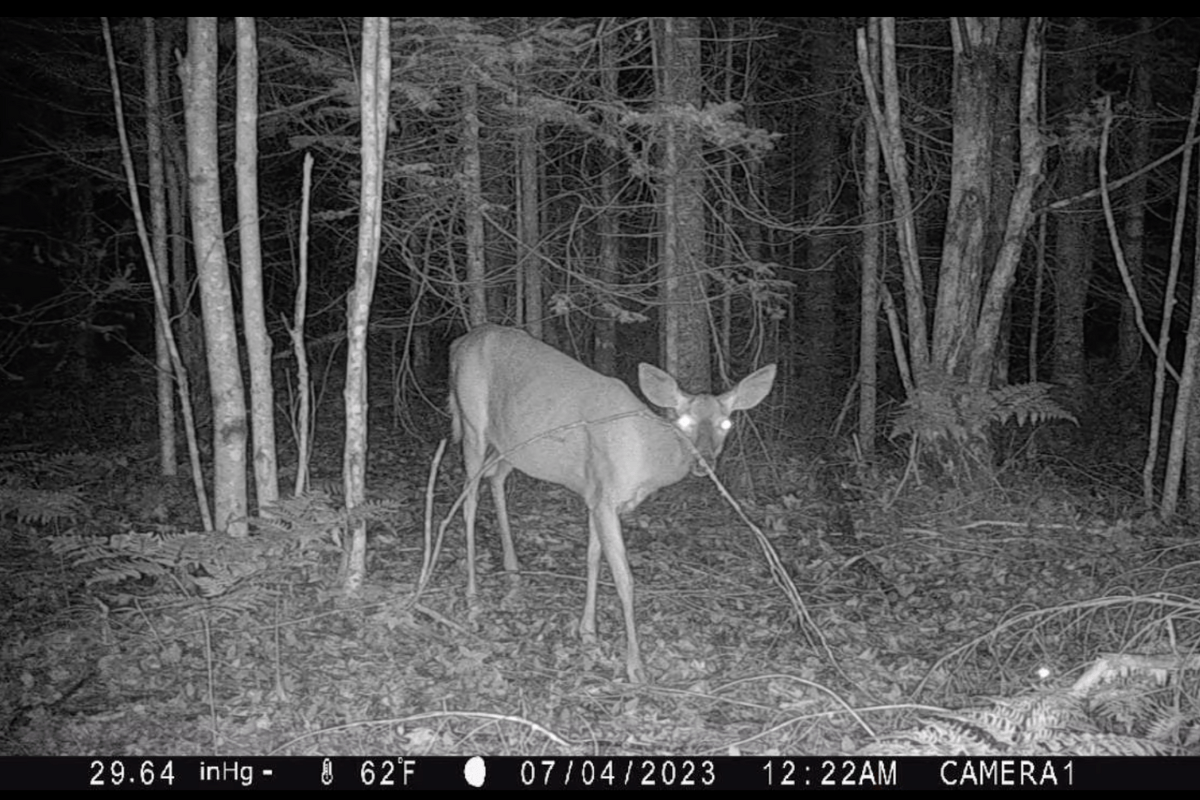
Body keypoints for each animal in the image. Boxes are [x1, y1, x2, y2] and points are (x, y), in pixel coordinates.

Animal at [448, 324, 776, 683]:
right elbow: (624, 578)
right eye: (684, 421)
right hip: (472, 423)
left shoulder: (595, 493)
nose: (704, 462)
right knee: (468, 497)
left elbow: (593, 558)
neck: (646, 453)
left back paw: (513, 571)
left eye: (726, 423)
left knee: (495, 478)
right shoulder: (606, 498)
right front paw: (636, 666)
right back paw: (472, 595)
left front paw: (588, 631)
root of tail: (459, 342)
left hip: (511, 444)